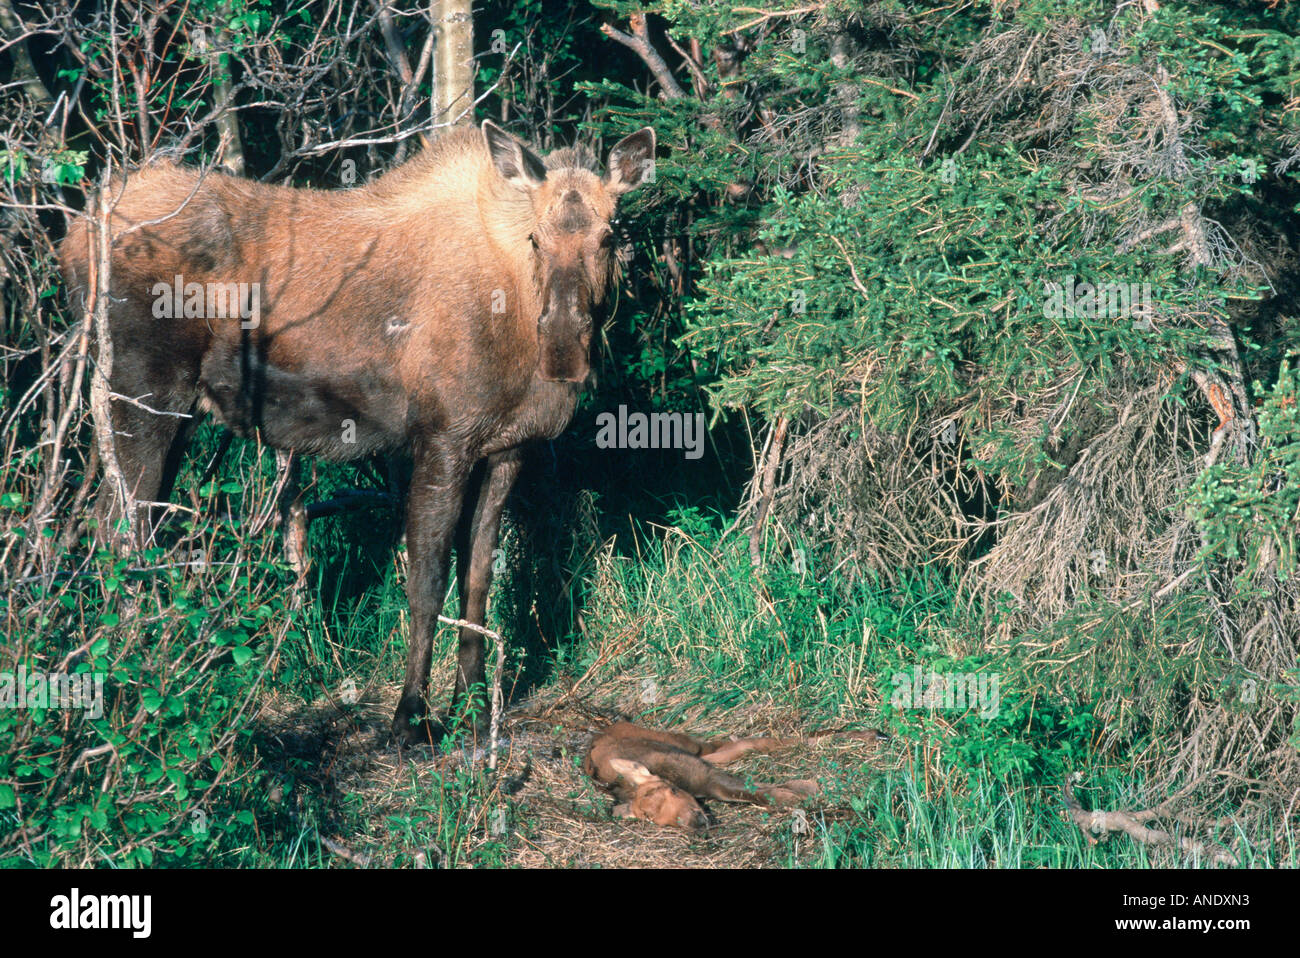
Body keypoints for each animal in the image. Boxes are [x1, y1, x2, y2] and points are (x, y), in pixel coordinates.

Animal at [59, 120, 657, 748]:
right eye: (536, 238)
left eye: (609, 236)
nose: (564, 345)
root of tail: (72, 235)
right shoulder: (441, 439)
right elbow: (426, 582)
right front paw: (411, 717)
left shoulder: (506, 450)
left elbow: (479, 581)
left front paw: (471, 709)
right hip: (140, 397)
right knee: (116, 532)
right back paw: (127, 675)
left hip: (172, 417)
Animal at [583, 721, 890, 830]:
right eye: (651, 819)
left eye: (672, 791)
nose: (697, 822)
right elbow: (763, 792)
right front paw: (806, 789)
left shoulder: (705, 777)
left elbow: (756, 792)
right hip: (699, 753)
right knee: (743, 744)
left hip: (687, 745)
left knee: (752, 742)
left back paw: (869, 734)